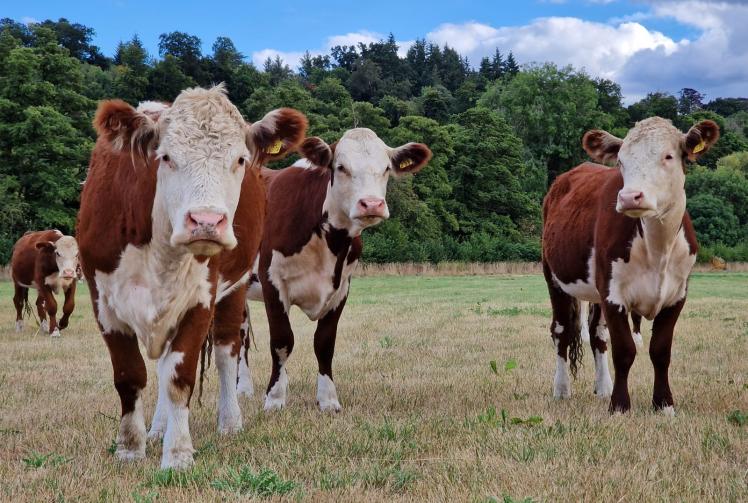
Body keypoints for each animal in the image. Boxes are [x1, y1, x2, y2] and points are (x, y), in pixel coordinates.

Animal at [76, 84, 307, 469]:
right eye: (166, 157)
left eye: (239, 159)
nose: (206, 222)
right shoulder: (103, 300)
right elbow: (129, 375)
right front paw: (130, 446)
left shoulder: (201, 297)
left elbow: (179, 377)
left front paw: (178, 454)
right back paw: (157, 428)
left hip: (235, 287)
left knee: (228, 351)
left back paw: (229, 421)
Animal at [240, 128, 432, 413]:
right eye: (341, 167)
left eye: (386, 168)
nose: (371, 204)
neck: (330, 241)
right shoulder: (272, 282)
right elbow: (282, 341)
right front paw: (274, 399)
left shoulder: (341, 288)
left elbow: (324, 343)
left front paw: (328, 400)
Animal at [542, 117, 719, 414]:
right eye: (621, 160)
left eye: (668, 156)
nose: (629, 197)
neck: (657, 248)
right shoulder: (613, 293)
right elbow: (624, 350)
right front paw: (620, 406)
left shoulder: (677, 296)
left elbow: (660, 351)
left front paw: (664, 404)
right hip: (555, 279)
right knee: (562, 331)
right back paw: (561, 389)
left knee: (597, 334)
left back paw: (603, 387)